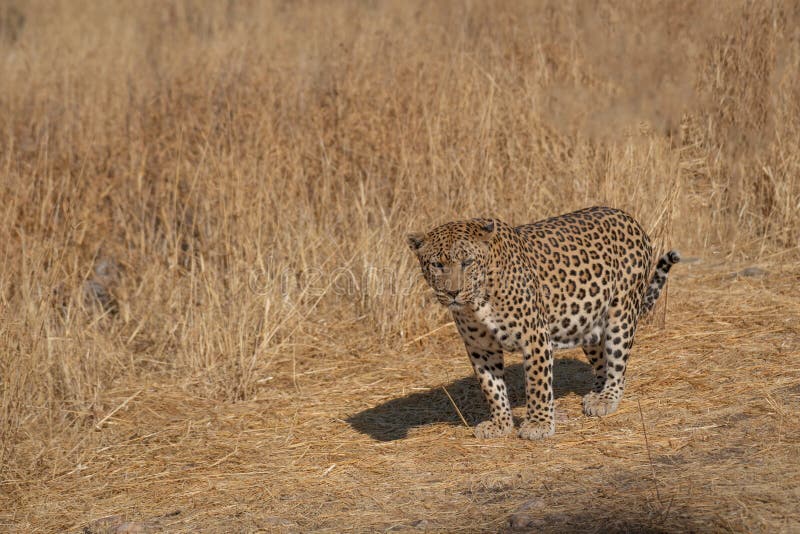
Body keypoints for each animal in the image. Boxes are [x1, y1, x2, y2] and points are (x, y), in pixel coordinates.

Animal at [407, 206, 680, 440]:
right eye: (437, 265)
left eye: (467, 262)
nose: (453, 292)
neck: (476, 302)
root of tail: (629, 218)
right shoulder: (480, 347)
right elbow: (491, 387)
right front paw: (500, 424)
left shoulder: (534, 335)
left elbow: (537, 383)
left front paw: (537, 425)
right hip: (587, 321)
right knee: (601, 359)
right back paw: (595, 393)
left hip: (621, 312)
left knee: (617, 364)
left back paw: (606, 398)